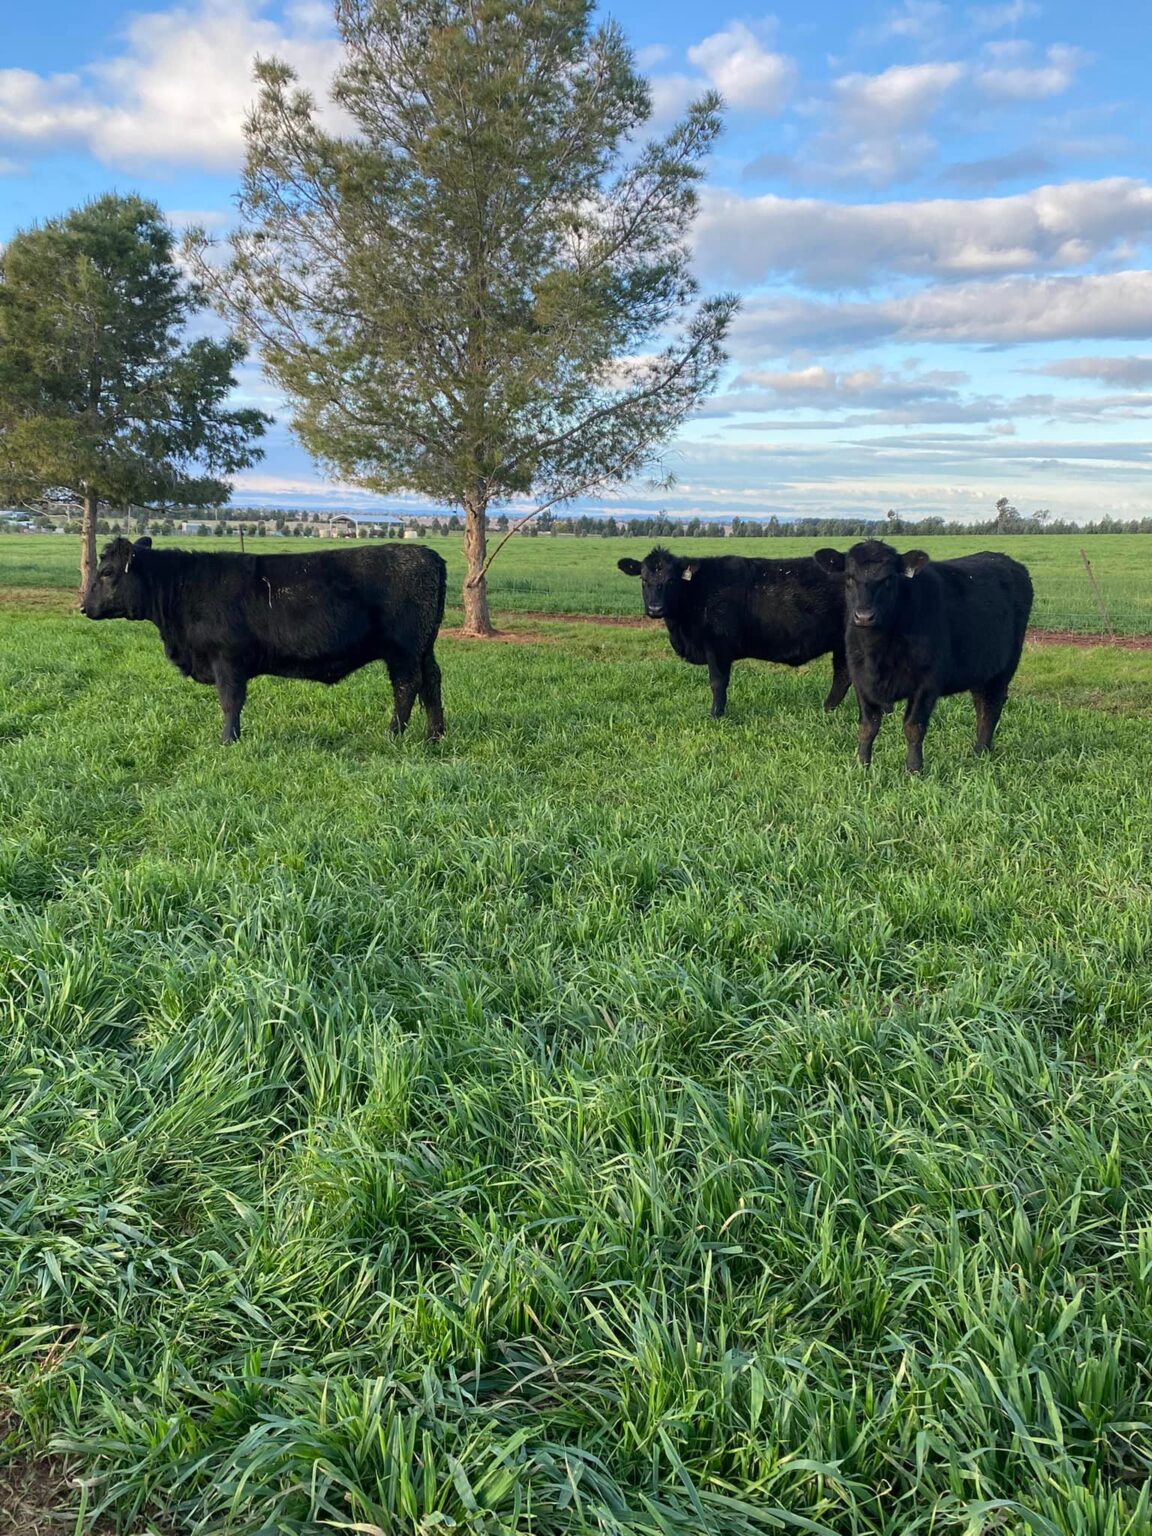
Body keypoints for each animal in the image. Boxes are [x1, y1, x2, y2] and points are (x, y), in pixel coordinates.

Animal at [81, 537, 447, 744]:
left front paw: (228, 741)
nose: (83, 607)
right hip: (424, 647)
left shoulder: (226, 659)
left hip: (403, 649)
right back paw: (435, 735)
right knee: (431, 682)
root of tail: (427, 555)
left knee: (407, 686)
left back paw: (393, 736)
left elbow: (230, 701)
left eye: (108, 572)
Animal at [617, 547, 850, 718]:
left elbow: (717, 682)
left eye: (672, 580)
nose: (655, 609)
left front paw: (715, 715)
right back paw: (826, 710)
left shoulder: (717, 646)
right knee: (842, 677)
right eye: (643, 579)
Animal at [813, 539, 1033, 773]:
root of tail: (1006, 561)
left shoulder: (927, 683)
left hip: (1005, 667)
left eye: (889, 578)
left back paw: (980, 752)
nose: (864, 616)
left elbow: (913, 727)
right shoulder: (861, 680)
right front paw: (862, 765)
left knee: (992, 706)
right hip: (981, 668)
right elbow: (867, 726)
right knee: (981, 704)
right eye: (848, 577)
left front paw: (914, 769)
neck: (878, 653)